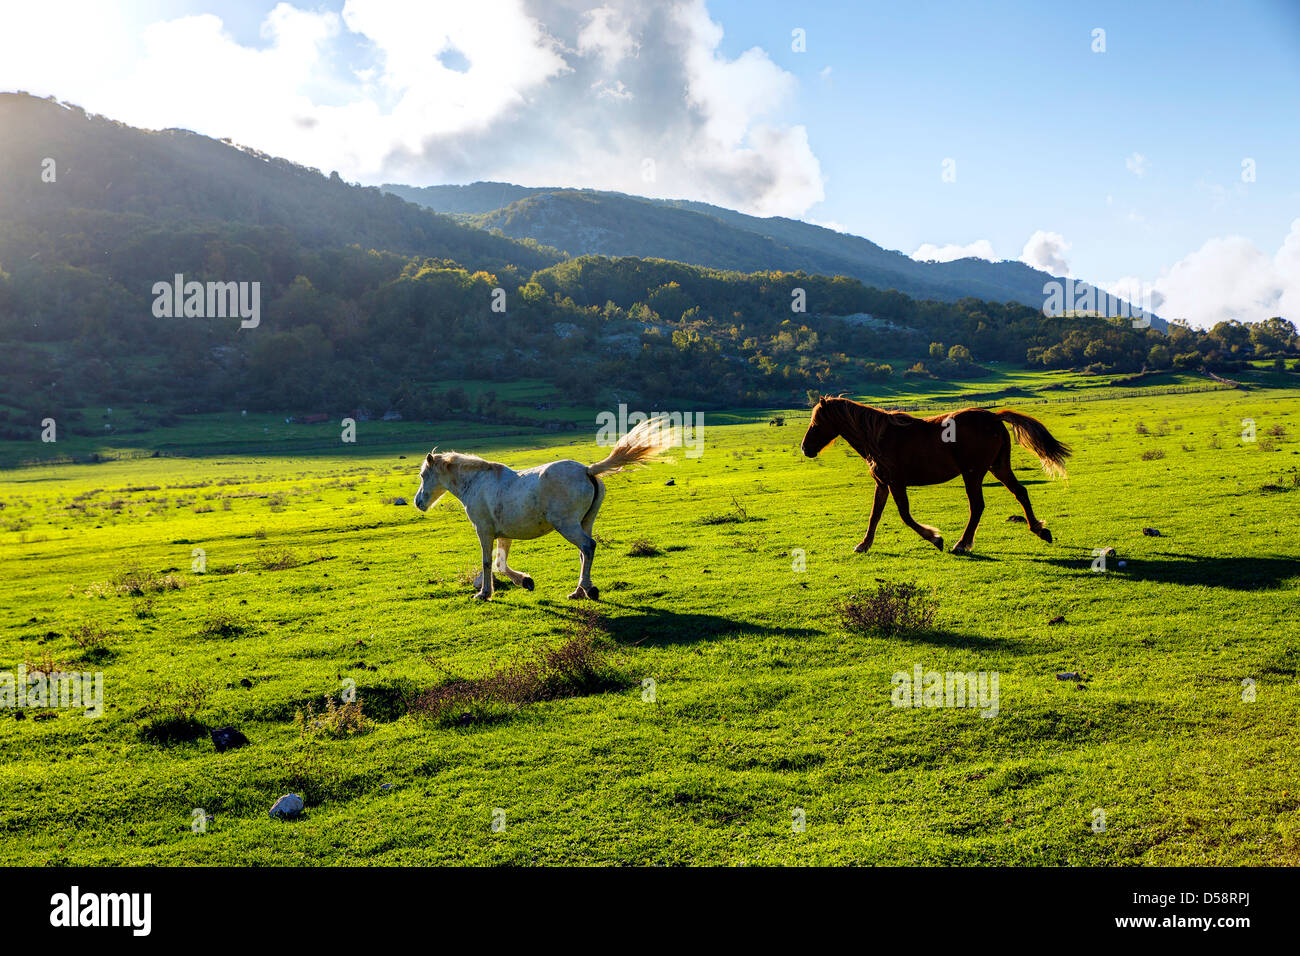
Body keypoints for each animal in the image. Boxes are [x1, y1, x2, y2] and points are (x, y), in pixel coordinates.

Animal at [412, 417, 674, 601]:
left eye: (423, 475)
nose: (418, 502)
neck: (477, 482)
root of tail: (587, 470)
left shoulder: (484, 531)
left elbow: (487, 562)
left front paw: (484, 594)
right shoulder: (503, 534)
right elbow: (500, 564)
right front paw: (526, 581)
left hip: (567, 525)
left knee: (588, 547)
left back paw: (587, 590)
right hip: (585, 522)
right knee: (584, 553)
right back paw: (578, 591)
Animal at [800, 396, 1071, 554]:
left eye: (816, 422)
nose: (805, 448)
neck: (879, 437)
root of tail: (993, 417)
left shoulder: (896, 483)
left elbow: (905, 516)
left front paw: (935, 538)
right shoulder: (883, 484)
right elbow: (874, 516)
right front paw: (863, 545)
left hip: (973, 473)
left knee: (977, 506)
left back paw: (962, 544)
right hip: (998, 466)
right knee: (1020, 492)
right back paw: (1040, 530)